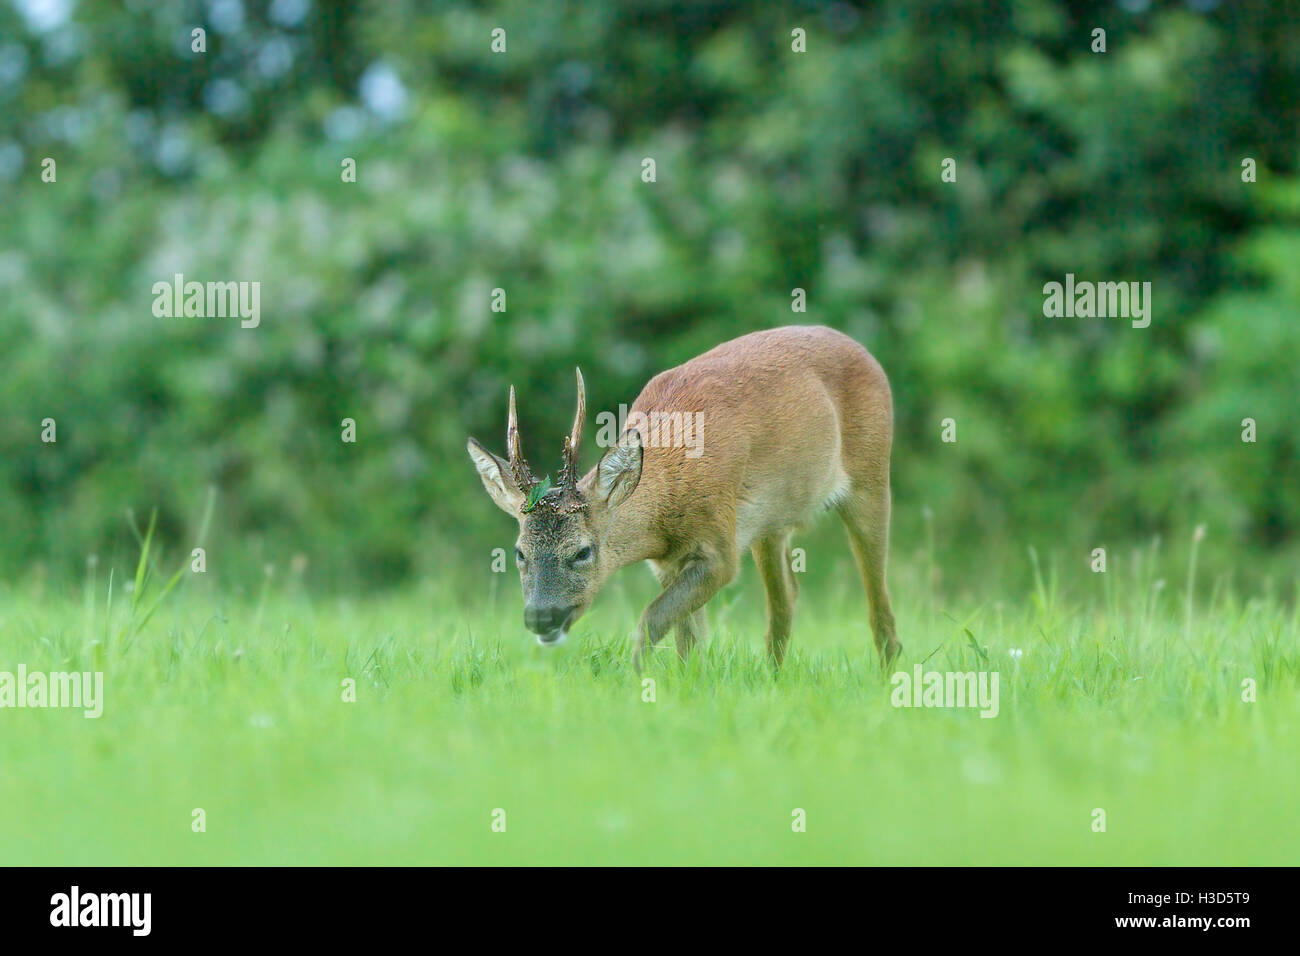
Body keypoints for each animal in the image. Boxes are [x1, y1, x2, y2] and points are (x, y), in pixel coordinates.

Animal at [466, 325, 900, 672]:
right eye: (520, 552)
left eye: (582, 552)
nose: (541, 618)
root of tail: (863, 350)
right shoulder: (667, 562)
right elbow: (686, 637)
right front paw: (685, 681)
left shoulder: (720, 548)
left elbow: (652, 620)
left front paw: (637, 676)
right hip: (772, 523)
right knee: (787, 597)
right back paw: (774, 677)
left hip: (871, 476)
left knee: (877, 597)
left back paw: (887, 675)